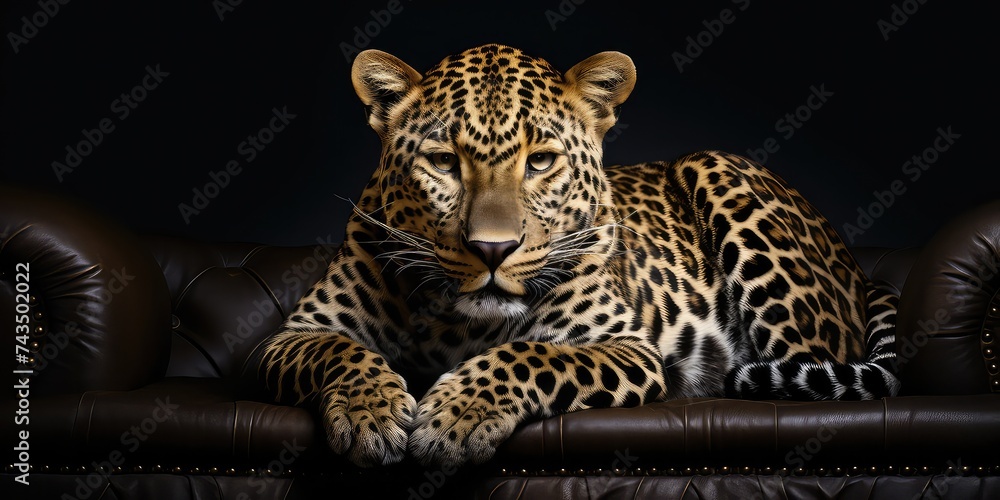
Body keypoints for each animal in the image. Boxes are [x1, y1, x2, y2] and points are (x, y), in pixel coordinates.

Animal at [256, 44, 900, 469]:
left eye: (540, 161)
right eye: (443, 163)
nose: (493, 249)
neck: (459, 328)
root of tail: (860, 271)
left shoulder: (627, 347)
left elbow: (532, 355)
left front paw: (456, 417)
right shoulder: (295, 334)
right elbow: (340, 351)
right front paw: (370, 413)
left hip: (721, 176)